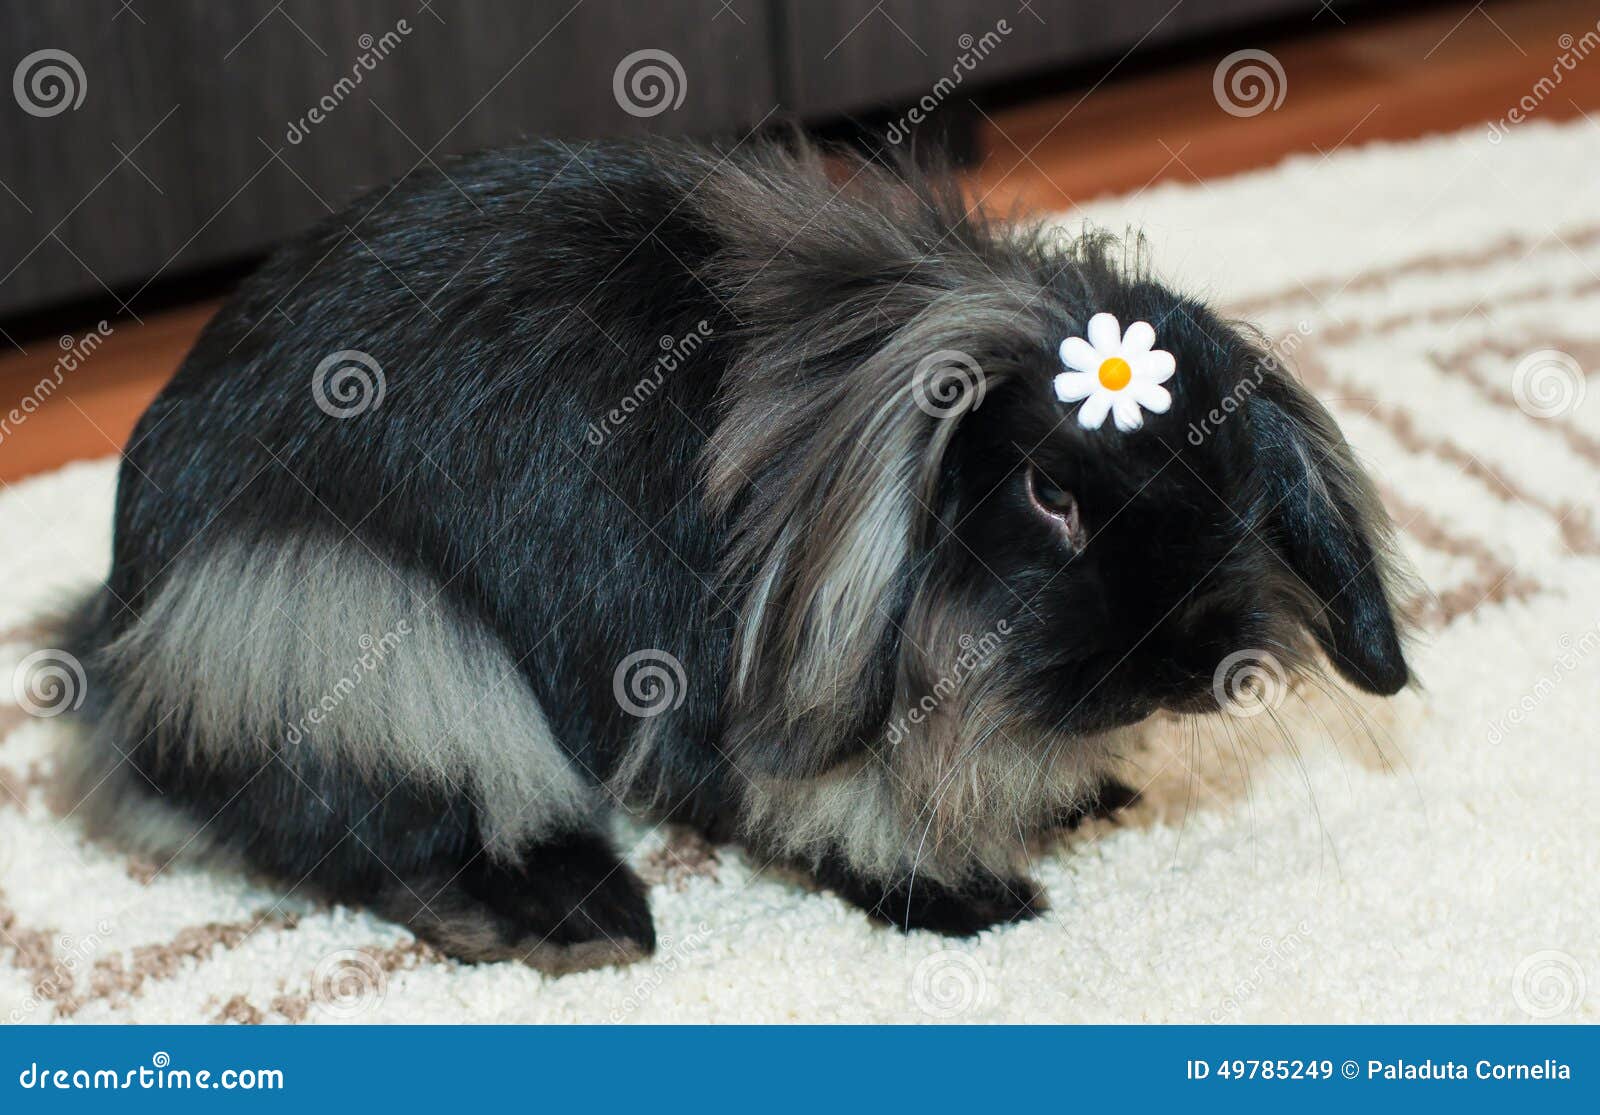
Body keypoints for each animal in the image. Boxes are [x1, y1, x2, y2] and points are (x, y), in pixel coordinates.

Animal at [55, 137, 1412, 973]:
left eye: (1231, 490)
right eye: (1047, 493)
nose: (1188, 663)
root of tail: (121, 646)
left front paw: (1083, 796)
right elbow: (828, 802)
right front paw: (970, 900)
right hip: (360, 632)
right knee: (391, 829)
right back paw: (580, 919)